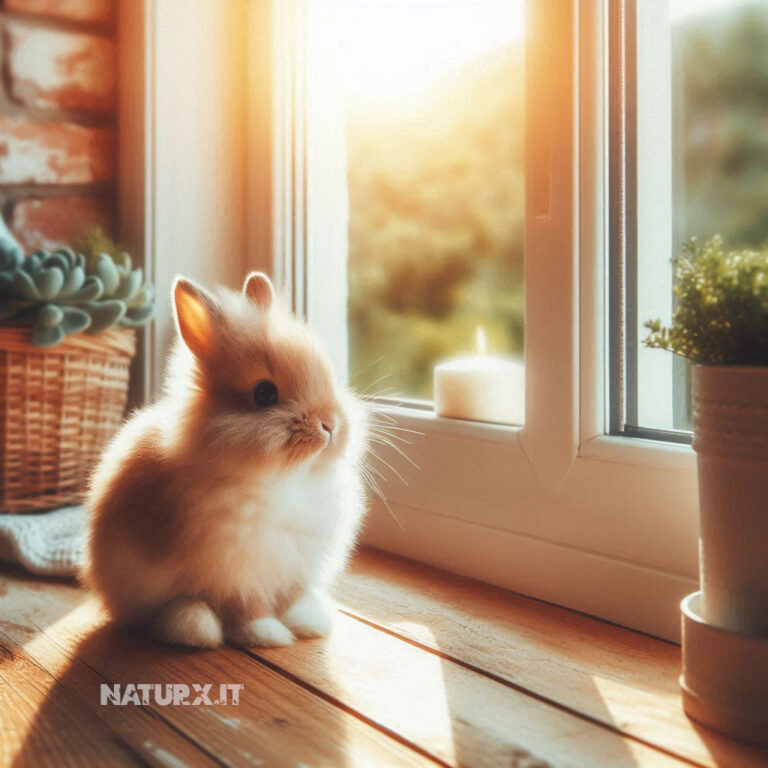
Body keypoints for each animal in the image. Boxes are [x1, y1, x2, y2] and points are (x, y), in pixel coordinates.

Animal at [84, 271, 368, 649]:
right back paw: (197, 629)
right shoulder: (233, 572)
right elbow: (245, 607)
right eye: (265, 393)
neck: (286, 478)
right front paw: (268, 634)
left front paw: (310, 623)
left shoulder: (294, 567)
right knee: (172, 611)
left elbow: (292, 597)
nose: (330, 425)